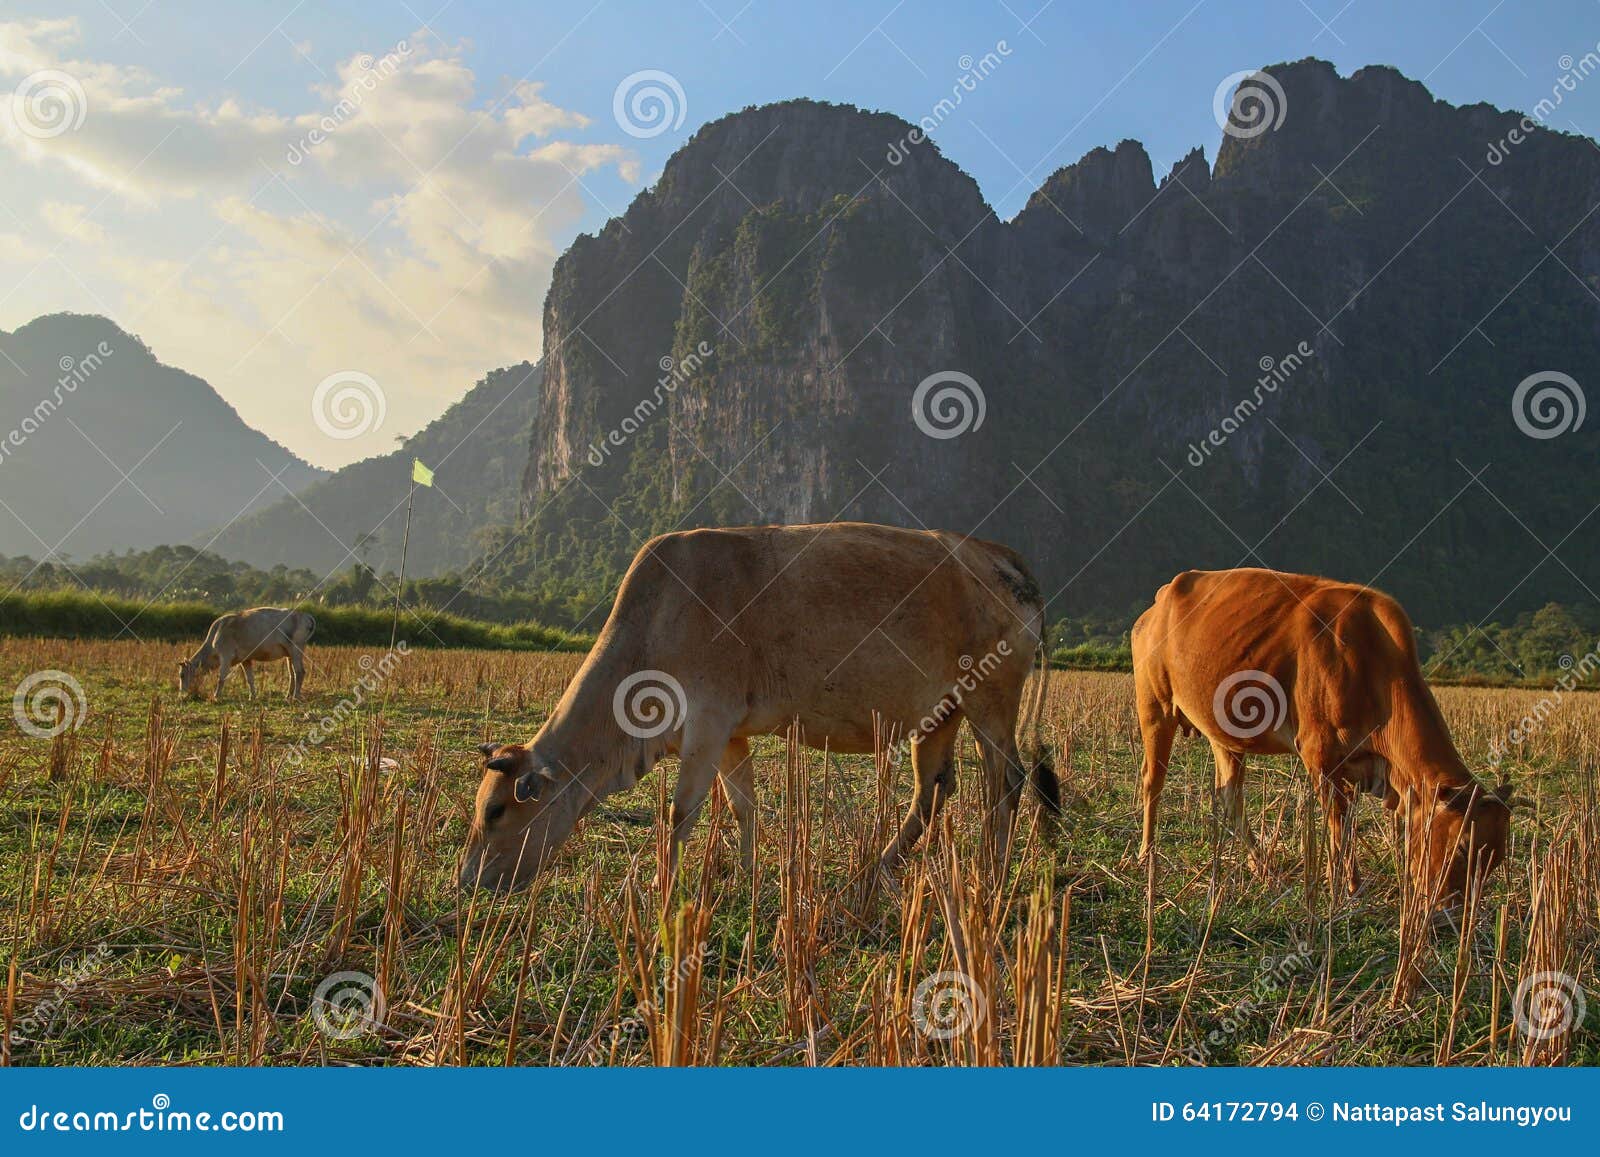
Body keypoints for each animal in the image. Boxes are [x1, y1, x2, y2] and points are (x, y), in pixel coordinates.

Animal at [177, 607, 316, 701]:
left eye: (182, 675)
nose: (181, 694)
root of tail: (305, 615)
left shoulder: (226, 656)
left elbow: (221, 678)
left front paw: (216, 696)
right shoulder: (245, 660)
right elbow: (250, 679)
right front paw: (252, 696)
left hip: (296, 649)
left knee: (300, 672)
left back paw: (296, 697)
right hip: (289, 655)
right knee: (292, 674)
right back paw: (288, 695)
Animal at [461, 522, 1060, 892]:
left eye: (495, 812)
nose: (467, 882)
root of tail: (1000, 556)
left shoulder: (706, 724)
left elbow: (680, 813)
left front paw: (661, 885)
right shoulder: (731, 734)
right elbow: (744, 807)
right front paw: (750, 878)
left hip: (991, 702)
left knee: (1006, 782)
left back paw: (992, 875)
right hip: (940, 715)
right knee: (933, 791)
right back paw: (878, 870)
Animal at [1132, 568, 1515, 906]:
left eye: (1496, 859)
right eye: (1463, 848)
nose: (1449, 916)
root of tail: (1161, 599)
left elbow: (1346, 825)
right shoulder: (1320, 758)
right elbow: (1338, 826)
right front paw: (1346, 889)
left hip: (1225, 736)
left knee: (1231, 797)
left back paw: (1263, 869)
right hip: (1155, 709)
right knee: (1153, 781)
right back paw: (1145, 854)